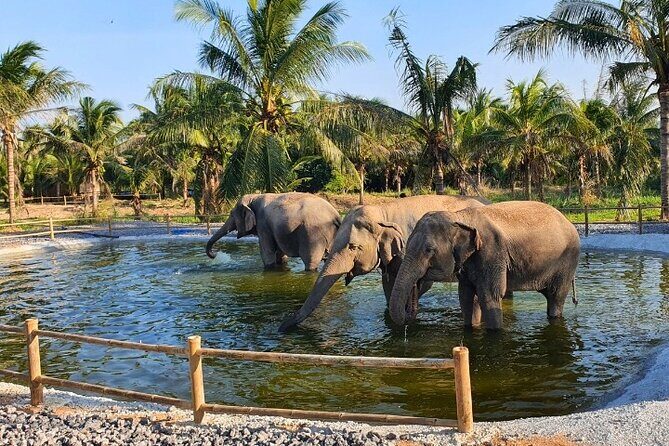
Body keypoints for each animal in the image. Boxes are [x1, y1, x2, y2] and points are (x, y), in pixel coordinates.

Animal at [206, 193, 341, 271]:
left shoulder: (263, 225)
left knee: (310, 261)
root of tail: (336, 215)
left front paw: (269, 268)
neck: (253, 197)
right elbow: (279, 253)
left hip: (312, 235)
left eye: (231, 214)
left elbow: (267, 252)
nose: (215, 254)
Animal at [389, 201, 580, 330]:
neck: (458, 216)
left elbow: (489, 295)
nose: (417, 282)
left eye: (429, 250)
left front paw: (495, 332)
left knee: (556, 296)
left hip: (567, 261)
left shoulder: (492, 252)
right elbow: (466, 296)